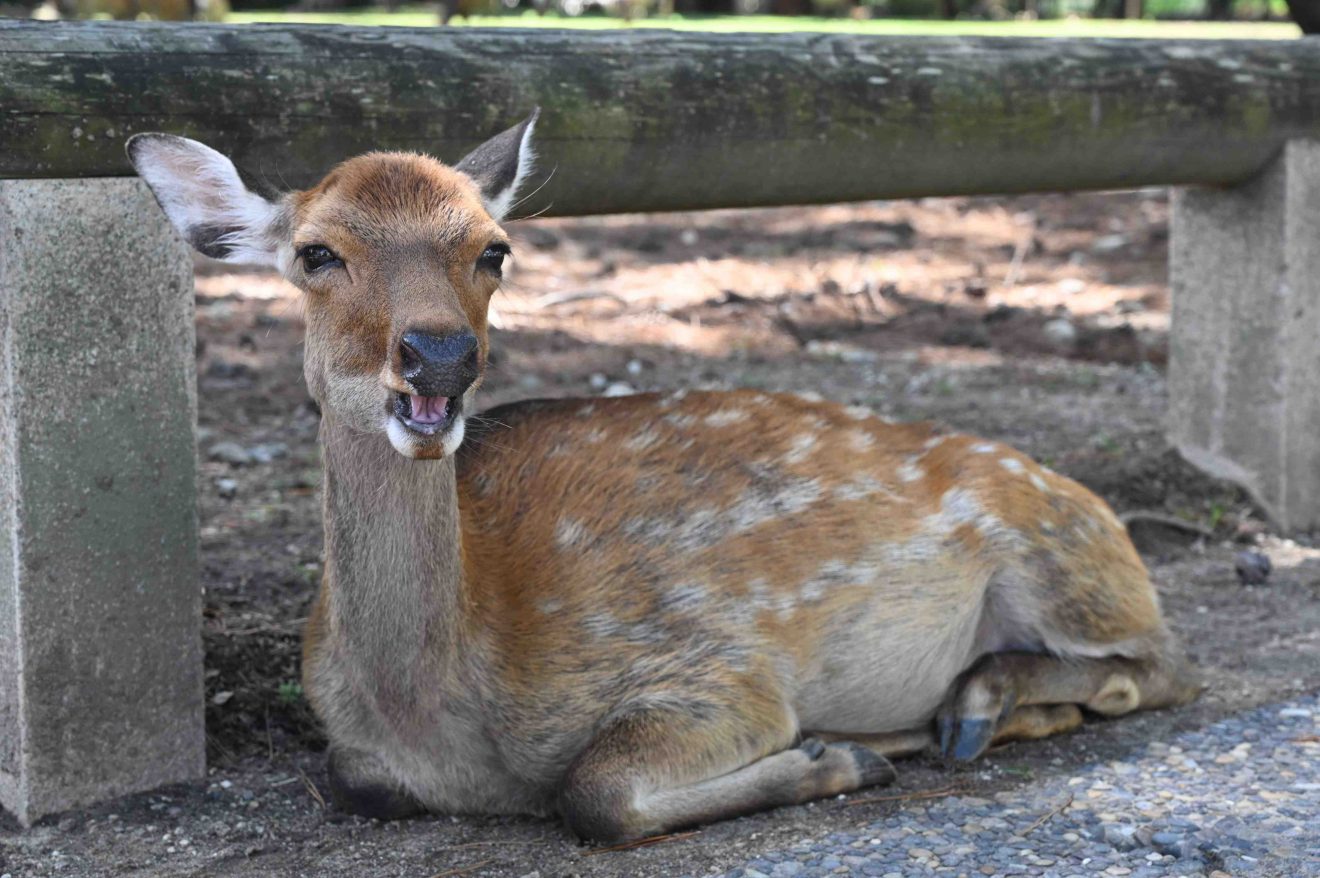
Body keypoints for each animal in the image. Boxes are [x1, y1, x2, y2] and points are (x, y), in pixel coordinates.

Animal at [127, 112, 1201, 843]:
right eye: (316, 252)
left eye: (493, 250)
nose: (439, 356)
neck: (446, 714)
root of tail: (1100, 511)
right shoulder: (353, 755)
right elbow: (345, 780)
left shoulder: (719, 669)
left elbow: (595, 793)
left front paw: (837, 755)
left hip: (1061, 559)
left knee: (1164, 666)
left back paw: (971, 709)